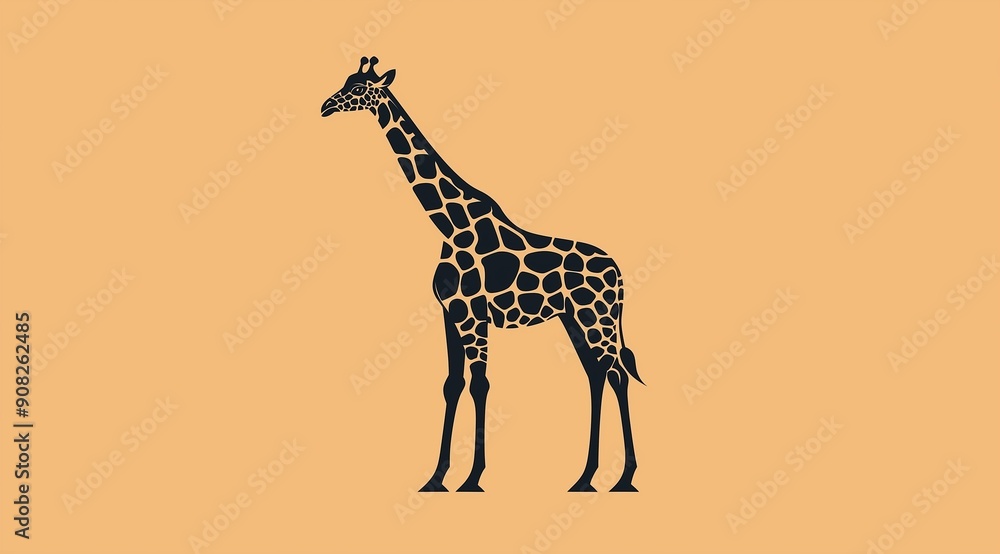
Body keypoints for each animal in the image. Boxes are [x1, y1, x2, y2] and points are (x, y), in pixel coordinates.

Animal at [322, 57, 644, 493]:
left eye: (358, 89)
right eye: (346, 81)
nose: (325, 106)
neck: (450, 227)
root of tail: (620, 275)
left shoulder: (474, 315)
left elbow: (480, 384)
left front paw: (473, 477)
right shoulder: (450, 312)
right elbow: (452, 384)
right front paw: (437, 477)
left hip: (599, 317)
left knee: (617, 373)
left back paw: (624, 477)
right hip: (573, 319)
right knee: (596, 373)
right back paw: (585, 477)